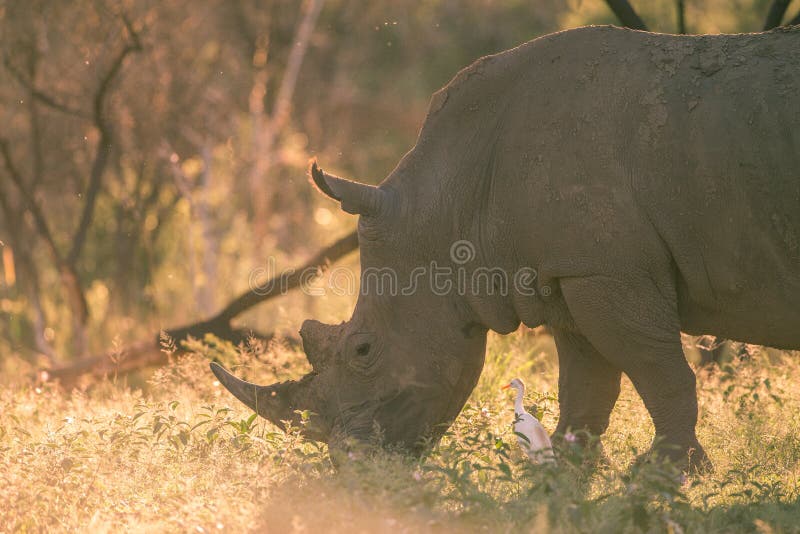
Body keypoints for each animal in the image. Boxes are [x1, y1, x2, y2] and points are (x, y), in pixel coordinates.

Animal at [212, 25, 800, 470]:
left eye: (363, 350)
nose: (352, 464)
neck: (450, 202)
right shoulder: (568, 272)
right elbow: (586, 390)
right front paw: (562, 476)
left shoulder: (606, 271)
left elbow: (659, 372)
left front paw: (669, 476)